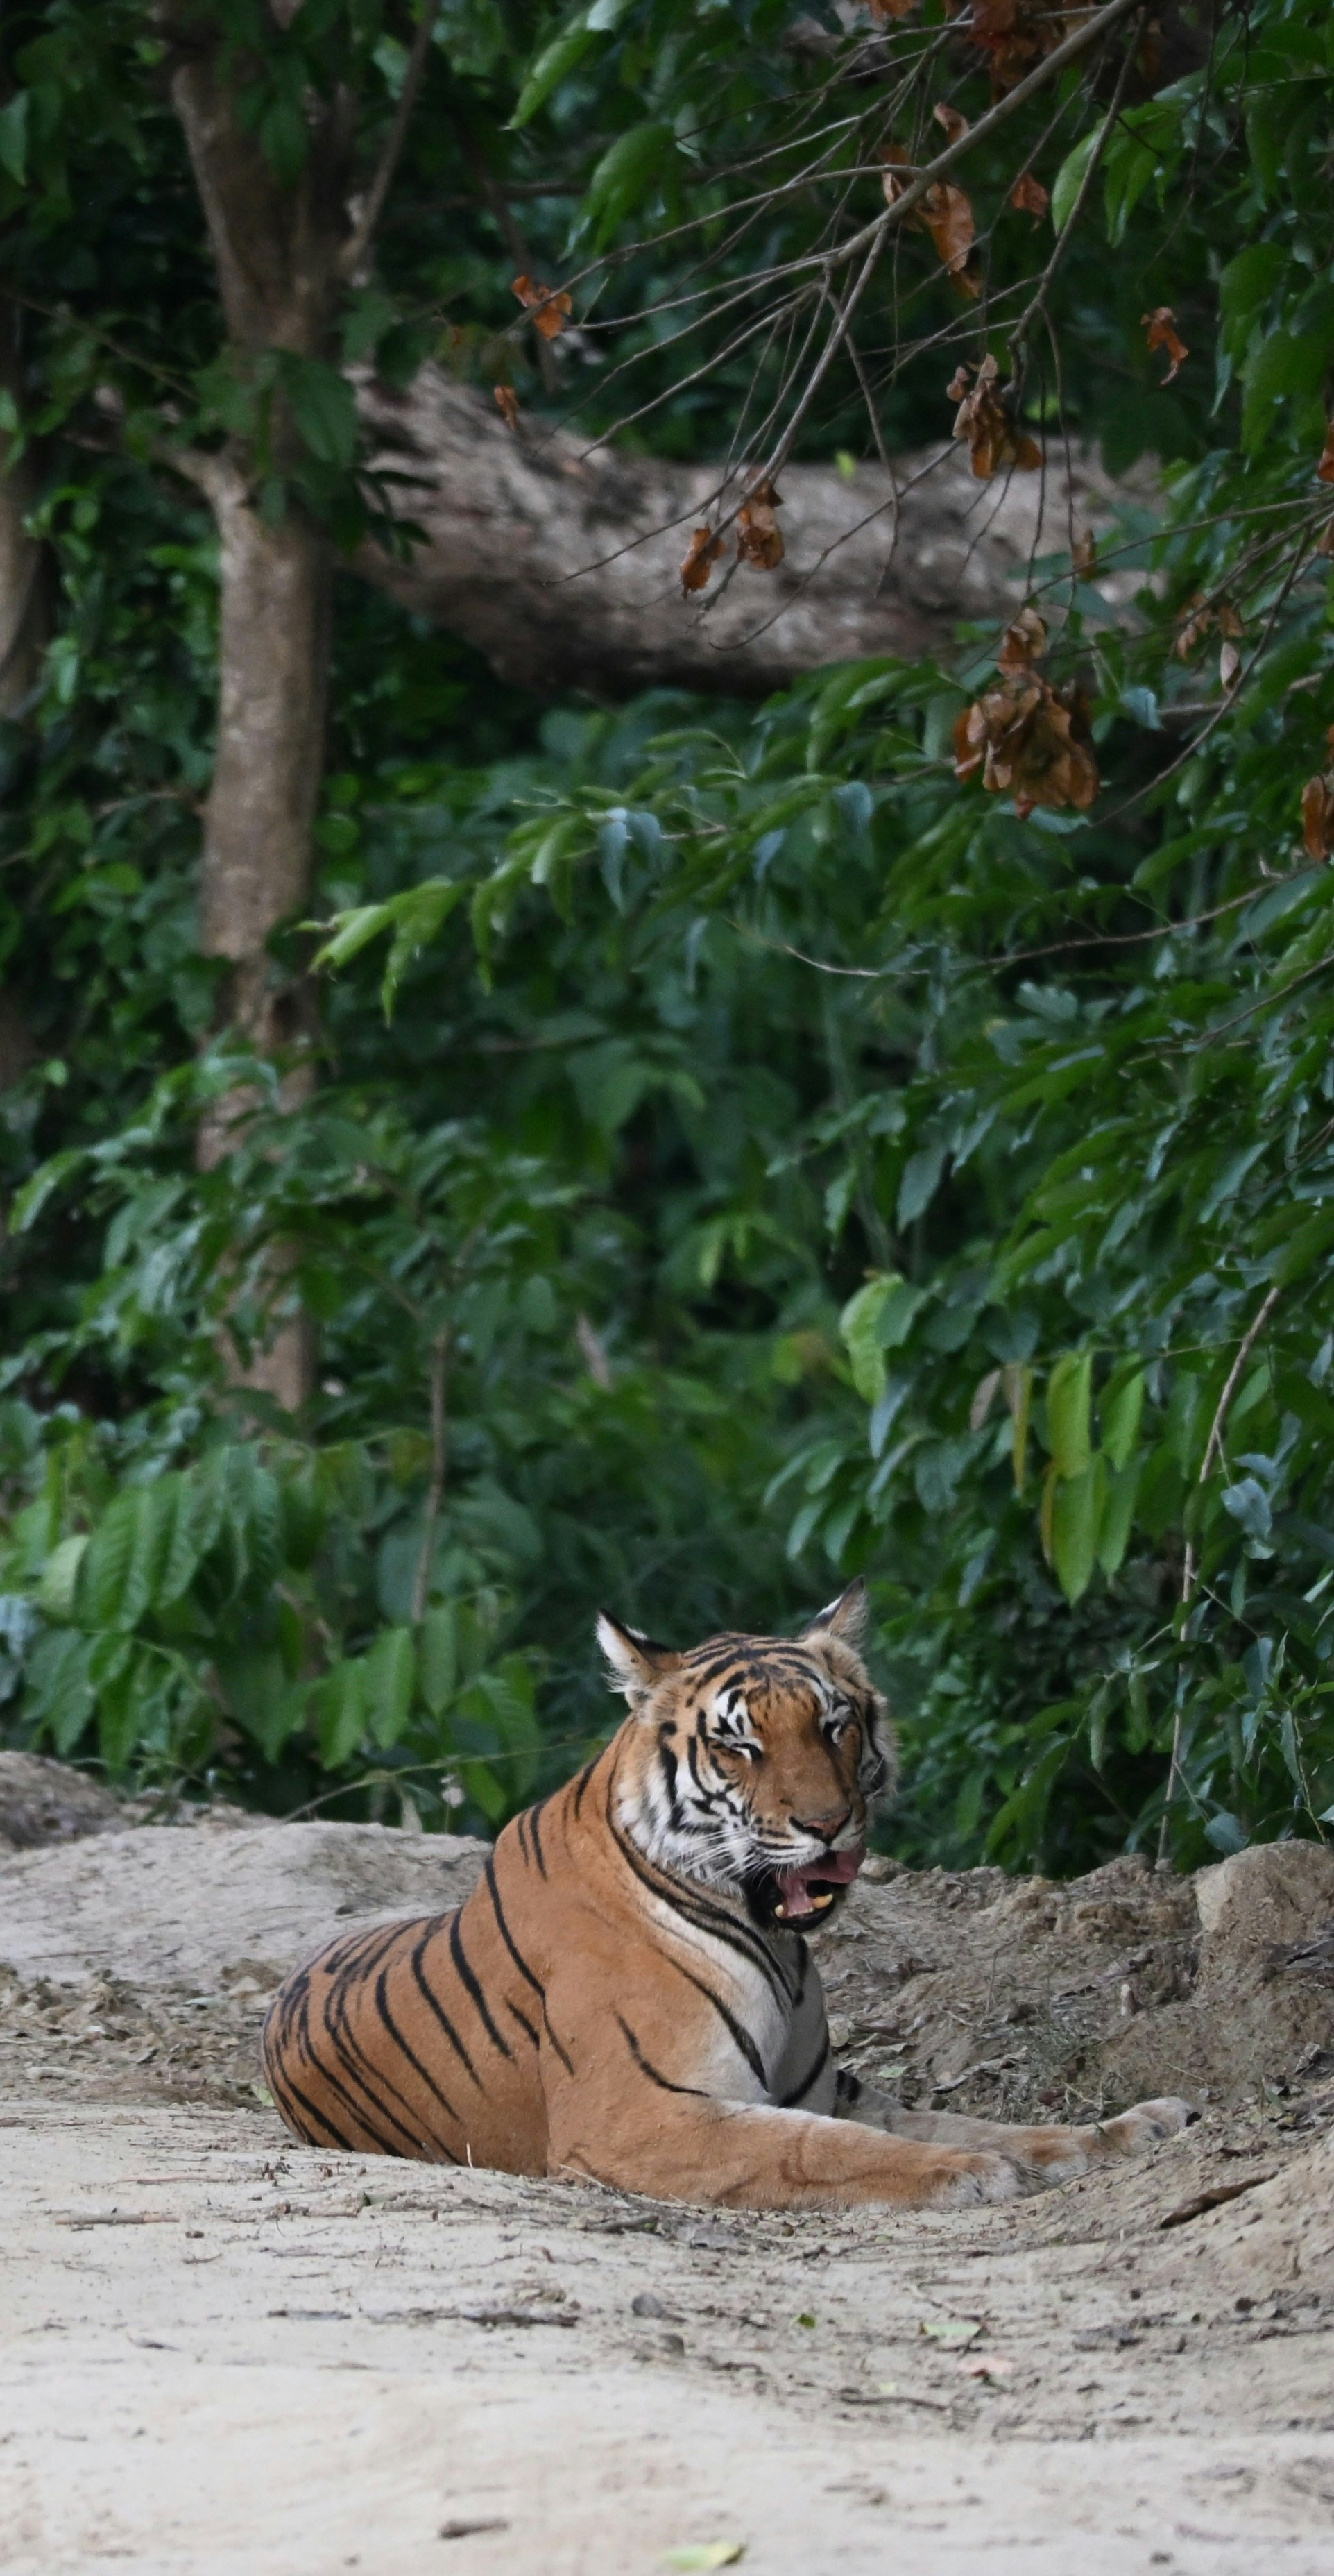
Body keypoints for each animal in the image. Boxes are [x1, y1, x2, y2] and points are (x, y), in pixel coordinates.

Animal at [262, 1581, 1193, 2209]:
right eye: (740, 1745)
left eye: (834, 1724)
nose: (829, 1825)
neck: (775, 1941)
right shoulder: (638, 2113)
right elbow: (823, 2150)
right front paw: (967, 2173)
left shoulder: (830, 2088)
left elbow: (969, 2121)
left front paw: (1131, 2127)